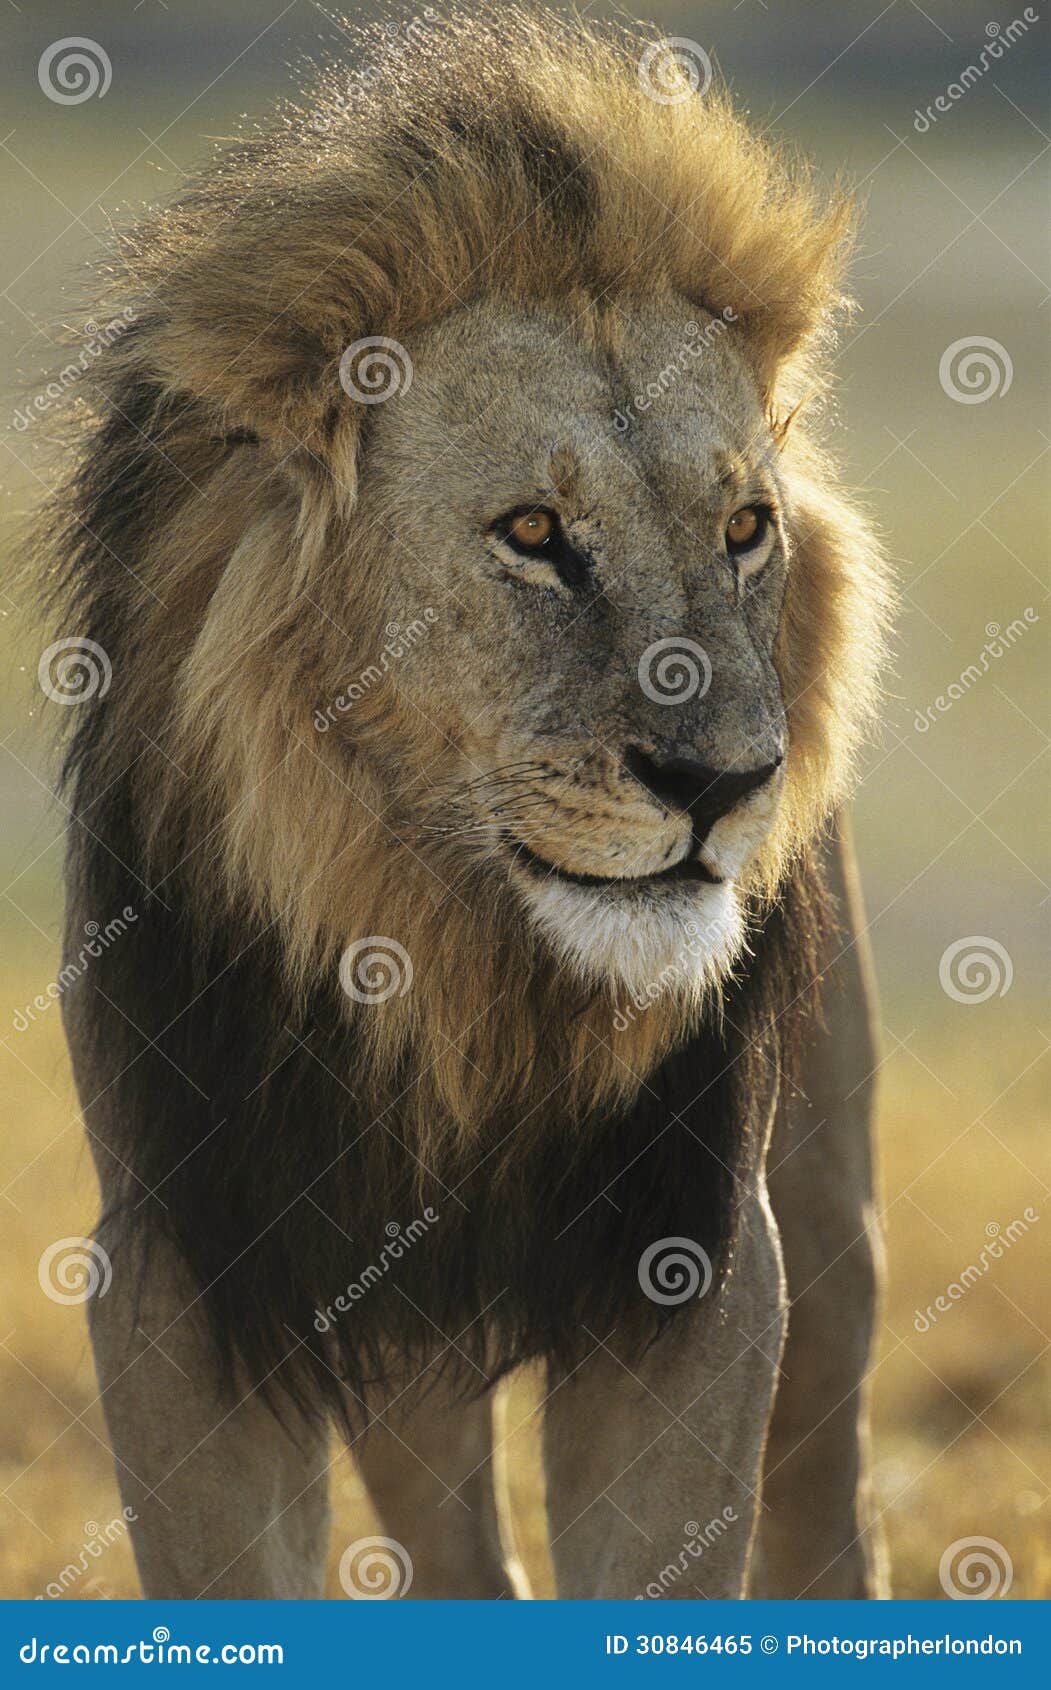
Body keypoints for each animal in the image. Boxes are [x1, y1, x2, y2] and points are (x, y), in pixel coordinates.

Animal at [38, 9, 892, 1600]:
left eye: (743, 530)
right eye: (534, 533)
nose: (724, 782)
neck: (443, 950)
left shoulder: (694, 1259)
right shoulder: (187, 1272)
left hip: (824, 1218)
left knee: (822, 1495)